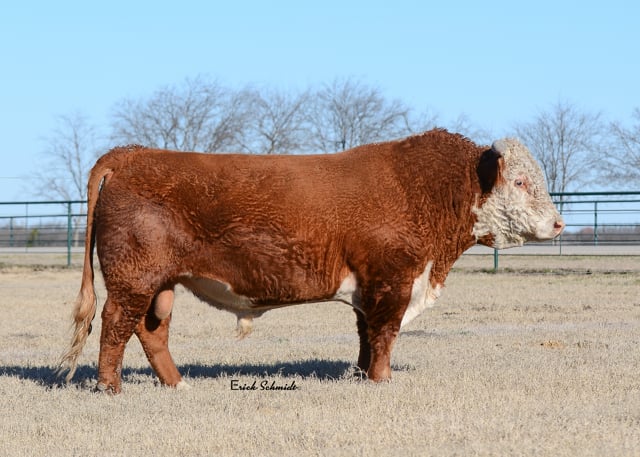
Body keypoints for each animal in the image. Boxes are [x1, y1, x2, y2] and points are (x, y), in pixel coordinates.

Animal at [58, 129, 564, 393]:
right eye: (520, 182)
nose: (559, 224)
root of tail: (132, 154)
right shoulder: (393, 281)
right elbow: (385, 335)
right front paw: (382, 381)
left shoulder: (370, 287)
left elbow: (366, 336)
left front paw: (362, 376)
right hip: (133, 276)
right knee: (115, 324)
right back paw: (110, 388)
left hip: (160, 281)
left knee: (150, 330)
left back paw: (176, 384)